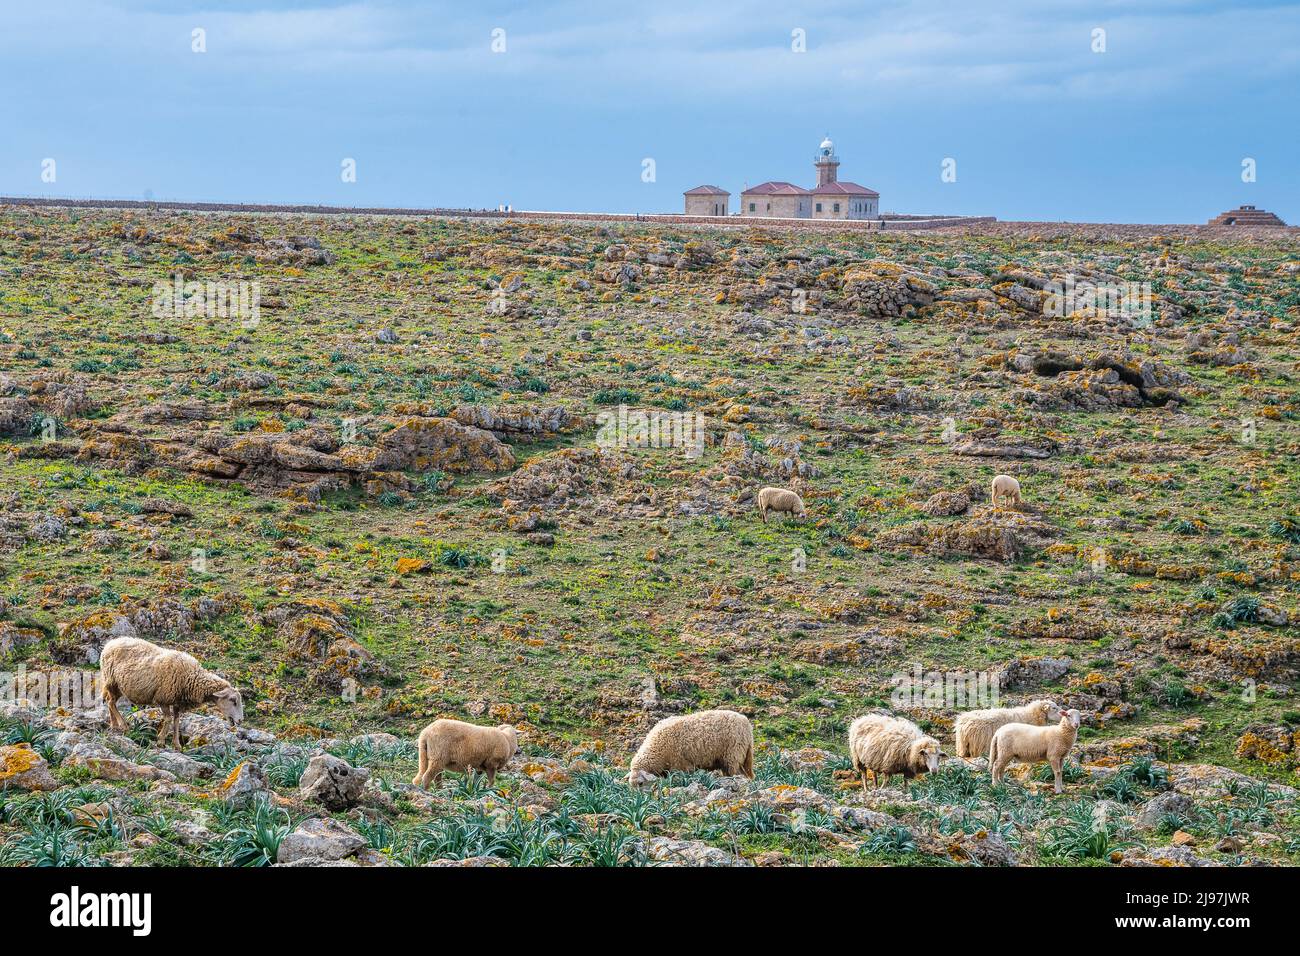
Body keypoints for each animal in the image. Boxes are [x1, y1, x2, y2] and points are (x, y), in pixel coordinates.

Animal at [99, 636, 243, 751]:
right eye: (233, 700)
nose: (240, 720)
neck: (191, 678)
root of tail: (110, 643)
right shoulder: (162, 698)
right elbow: (168, 719)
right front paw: (161, 741)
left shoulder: (177, 702)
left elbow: (176, 721)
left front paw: (177, 745)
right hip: (112, 681)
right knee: (111, 702)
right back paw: (123, 726)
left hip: (118, 686)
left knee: (110, 702)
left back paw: (114, 725)